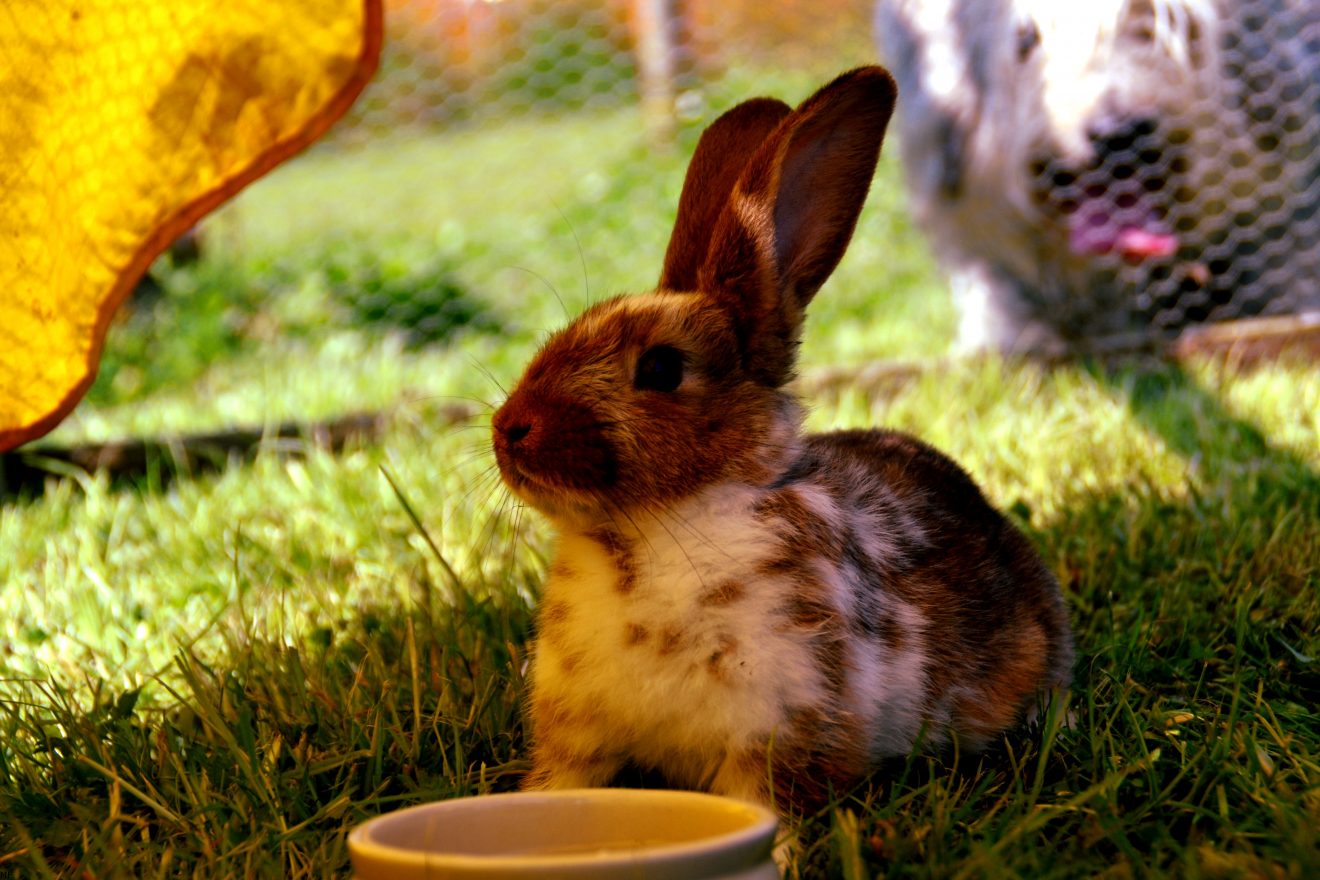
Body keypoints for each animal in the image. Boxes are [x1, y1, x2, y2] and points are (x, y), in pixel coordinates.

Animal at [491, 66, 1074, 815]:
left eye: (661, 368)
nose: (510, 429)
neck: (645, 530)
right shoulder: (578, 743)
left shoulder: (778, 726)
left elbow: (770, 809)